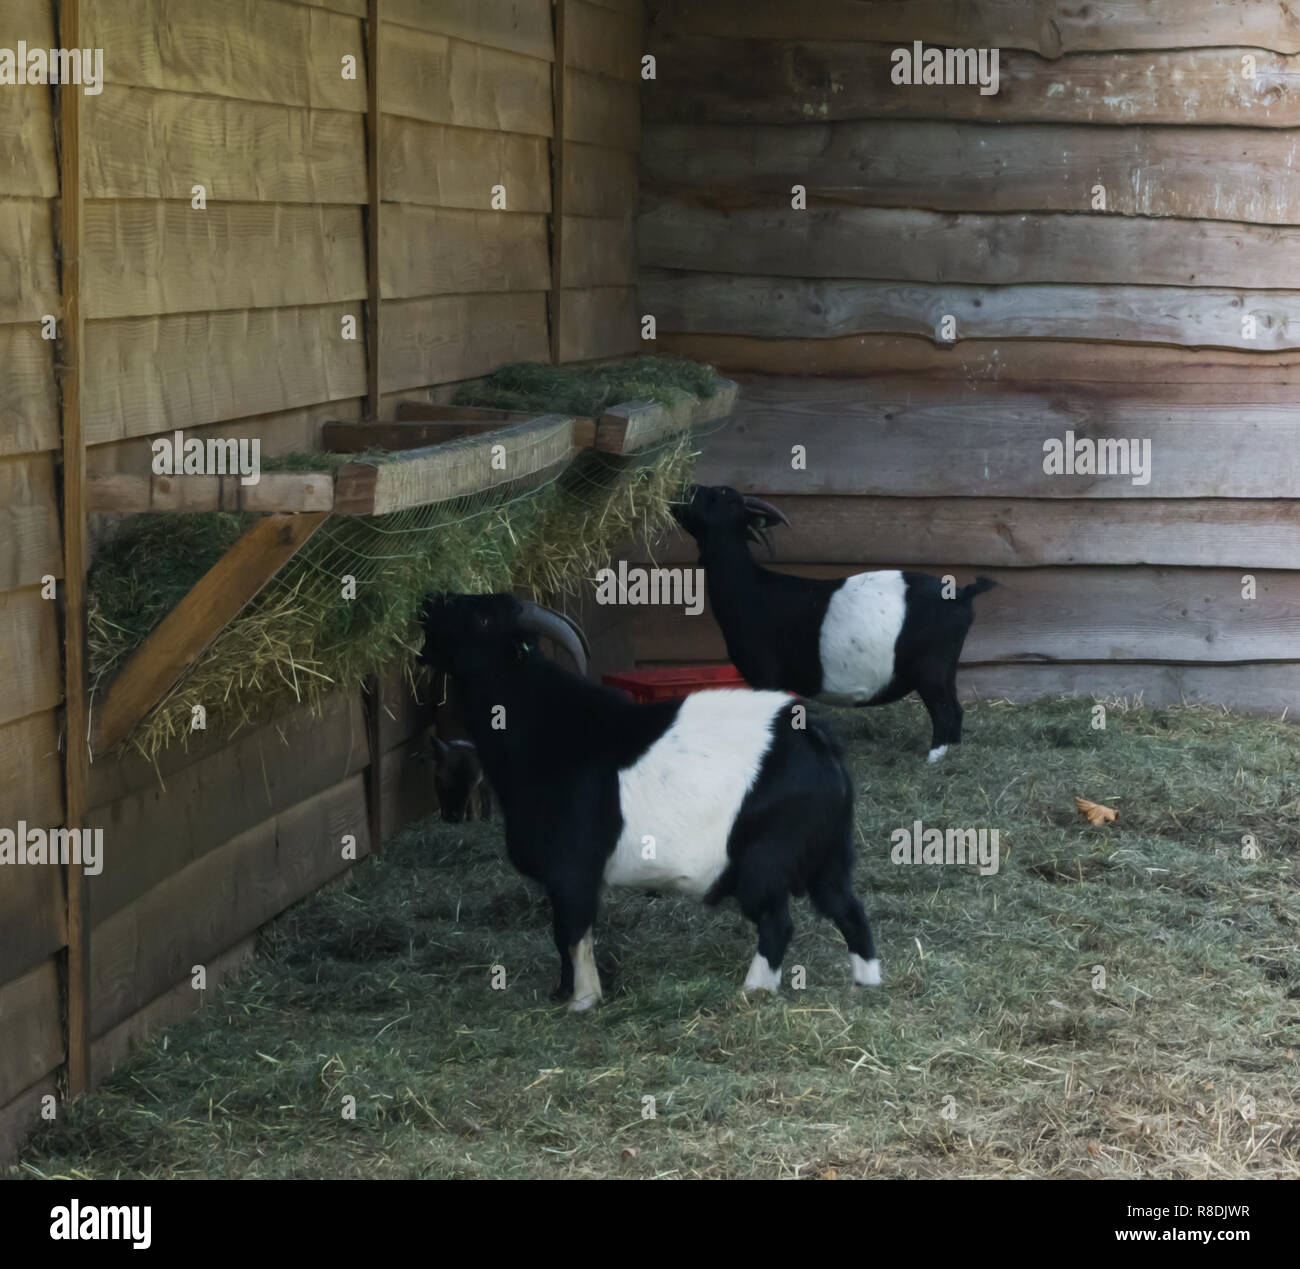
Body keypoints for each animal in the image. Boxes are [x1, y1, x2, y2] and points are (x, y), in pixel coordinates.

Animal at [419, 593, 880, 1011]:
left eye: (482, 619)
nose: (430, 601)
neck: (542, 726)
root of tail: (816, 739)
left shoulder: (572, 870)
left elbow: (572, 933)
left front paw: (583, 1001)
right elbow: (563, 936)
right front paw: (561, 992)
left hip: (765, 859)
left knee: (777, 922)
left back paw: (753, 991)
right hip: (829, 854)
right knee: (848, 908)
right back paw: (866, 982)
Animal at [672, 485, 996, 763]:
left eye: (719, 497)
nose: (686, 489)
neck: (749, 586)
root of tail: (962, 595)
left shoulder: (766, 674)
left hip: (931, 667)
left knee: (945, 712)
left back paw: (933, 760)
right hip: (946, 667)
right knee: (955, 710)